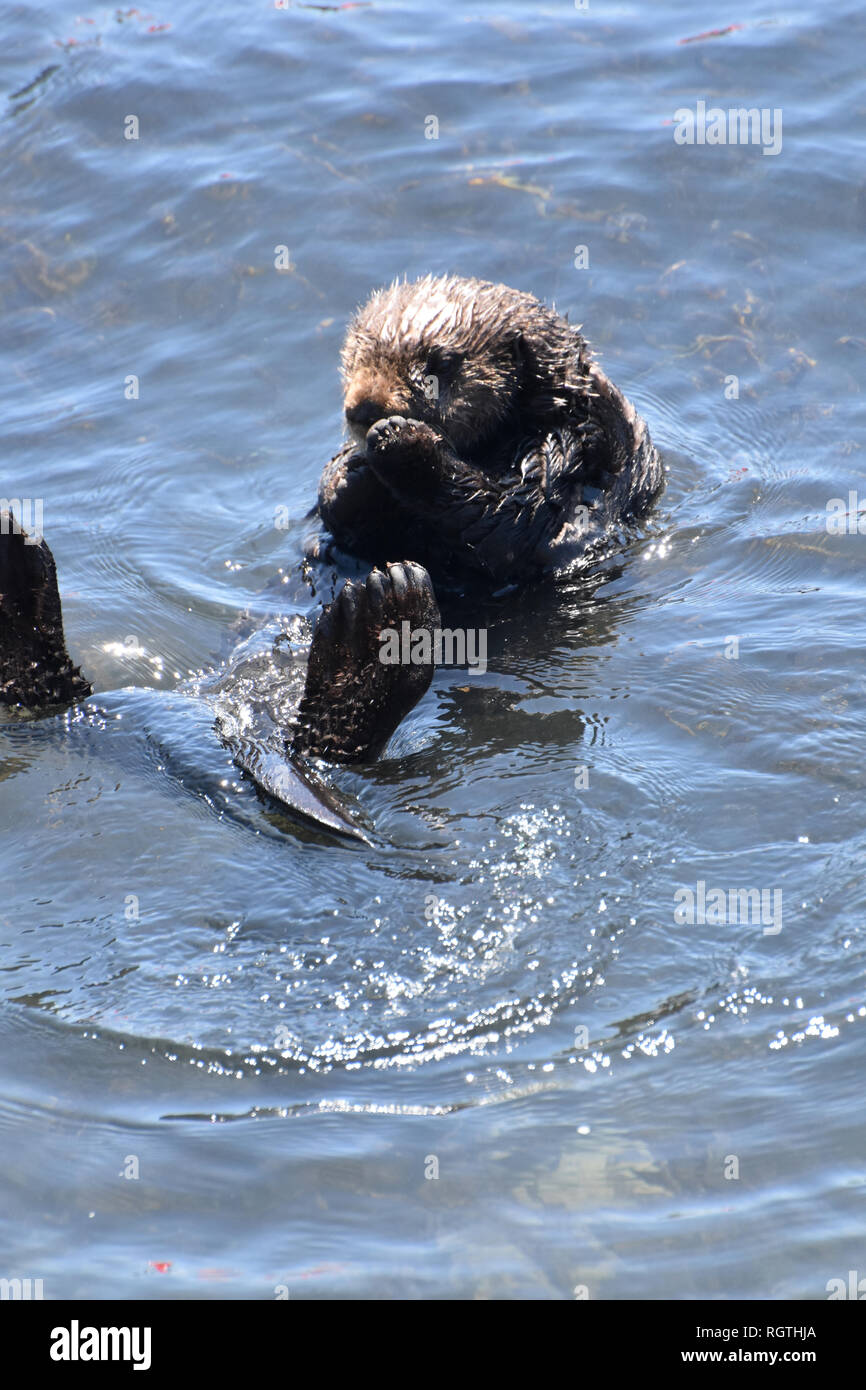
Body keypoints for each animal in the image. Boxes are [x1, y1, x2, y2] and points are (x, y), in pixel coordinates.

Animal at [1, 275, 661, 832]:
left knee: (334, 745)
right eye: (354, 357)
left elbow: (506, 521)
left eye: (439, 365)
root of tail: (224, 716)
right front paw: (347, 473)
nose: (364, 408)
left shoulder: (570, 455)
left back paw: (383, 618)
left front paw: (399, 445)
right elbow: (343, 514)